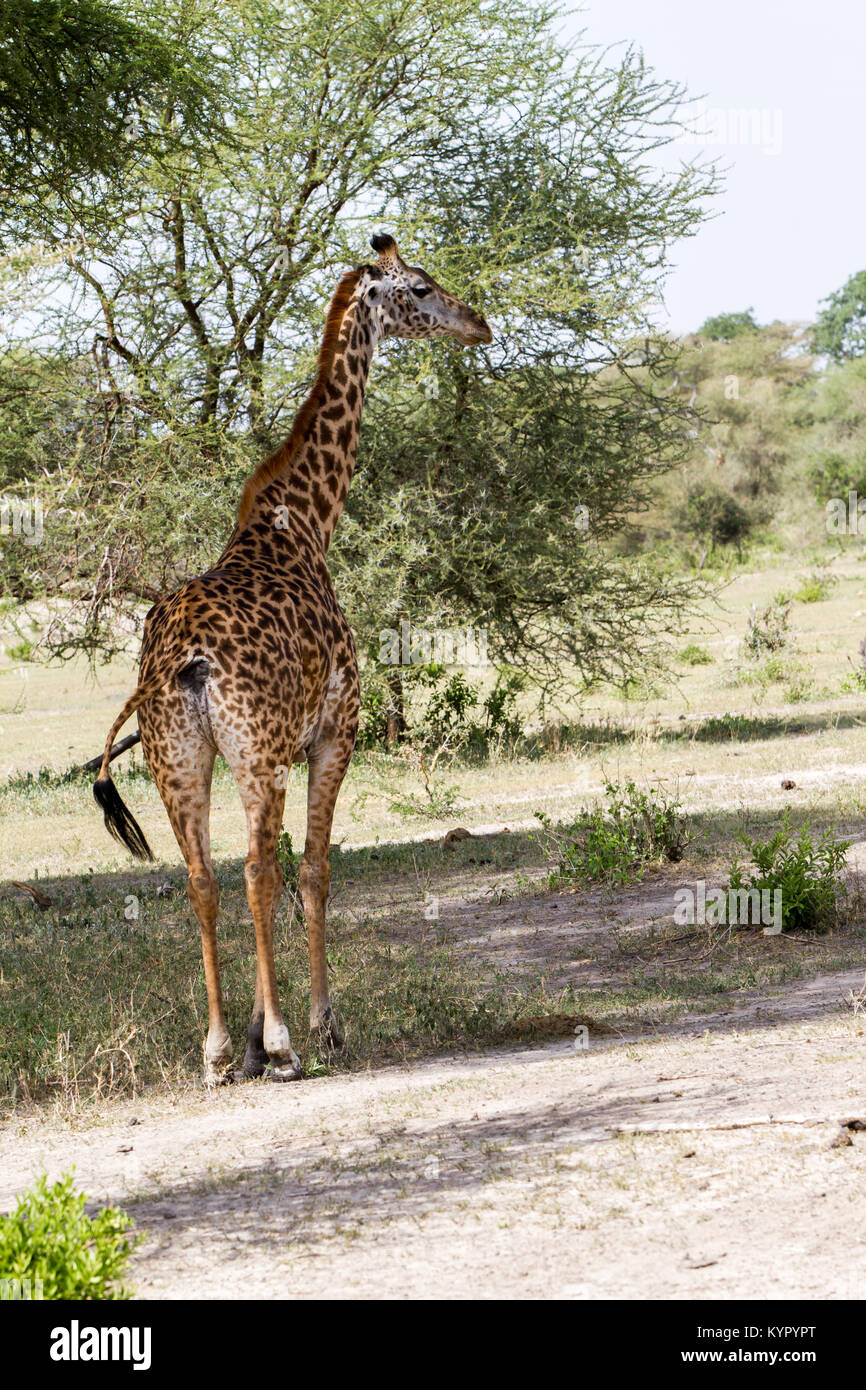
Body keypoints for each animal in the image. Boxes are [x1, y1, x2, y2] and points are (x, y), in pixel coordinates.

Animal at [93, 233, 492, 1083]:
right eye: (421, 286)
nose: (477, 323)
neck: (303, 522)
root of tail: (185, 661)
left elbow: (275, 871)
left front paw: (251, 1038)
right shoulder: (335, 734)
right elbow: (313, 869)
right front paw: (321, 1024)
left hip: (180, 759)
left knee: (204, 877)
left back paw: (217, 1049)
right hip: (258, 752)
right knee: (256, 871)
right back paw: (280, 1042)